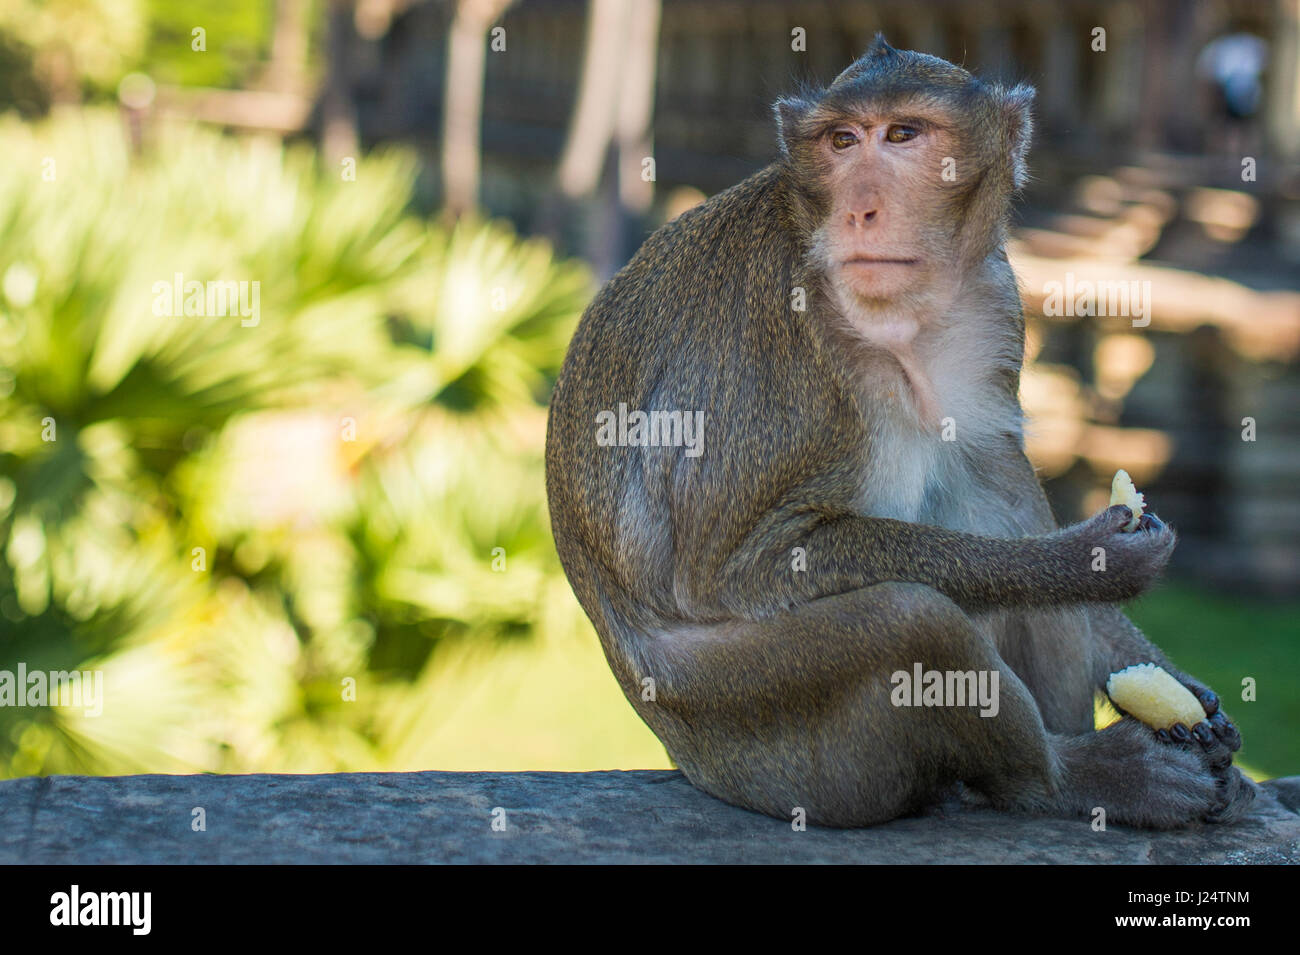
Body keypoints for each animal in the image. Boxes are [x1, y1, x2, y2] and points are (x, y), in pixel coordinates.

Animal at [544, 36, 1256, 829]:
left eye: (905, 135)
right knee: (912, 620)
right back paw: (1070, 780)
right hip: (756, 731)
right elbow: (729, 567)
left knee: (994, 492)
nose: (861, 209)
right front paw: (1084, 562)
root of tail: (687, 759)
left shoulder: (996, 304)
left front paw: (1180, 686)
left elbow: (992, 472)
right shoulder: (776, 347)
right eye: (842, 141)